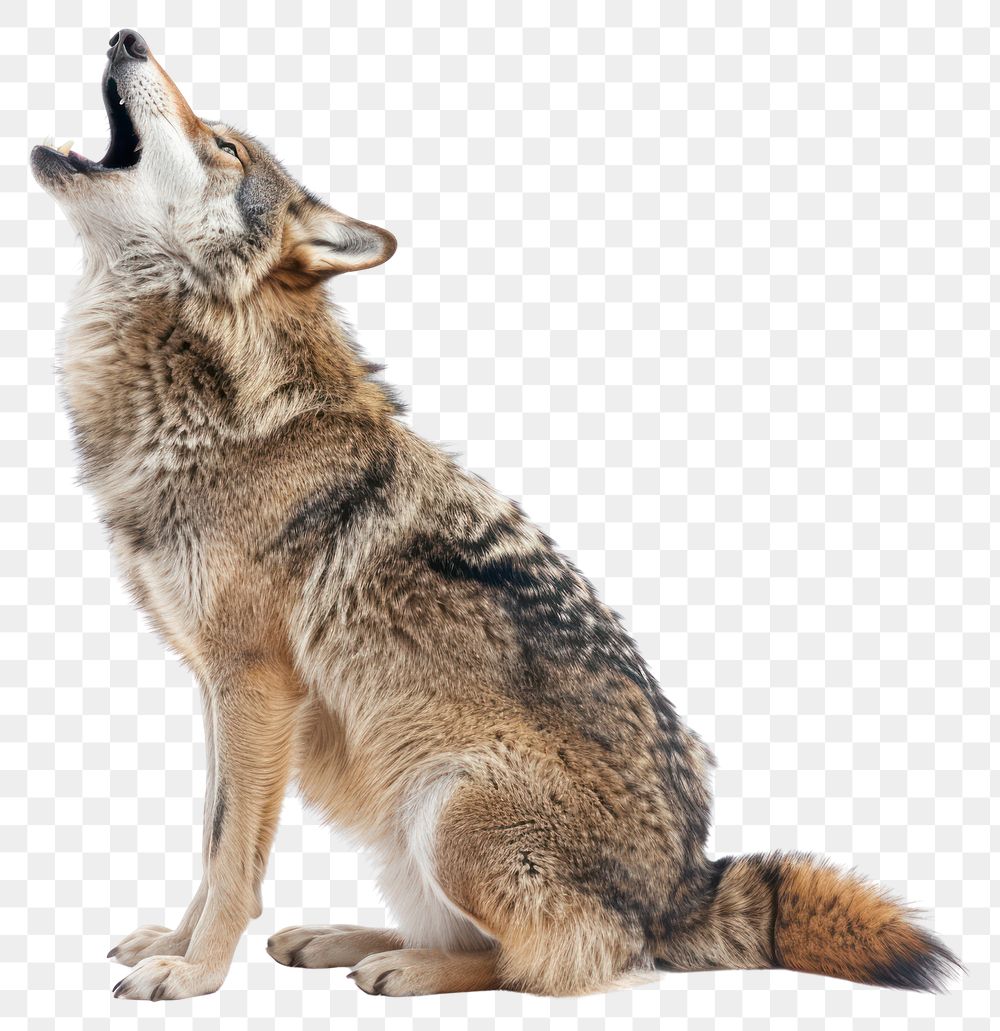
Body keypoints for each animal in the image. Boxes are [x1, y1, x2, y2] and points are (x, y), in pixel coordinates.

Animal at [30, 29, 959, 1002]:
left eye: (225, 146)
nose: (126, 36)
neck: (207, 396)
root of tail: (686, 894)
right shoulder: (215, 682)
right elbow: (212, 838)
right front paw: (174, 944)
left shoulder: (255, 681)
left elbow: (231, 852)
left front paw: (196, 973)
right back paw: (339, 938)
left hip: (452, 805)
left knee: (558, 962)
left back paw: (396, 965)